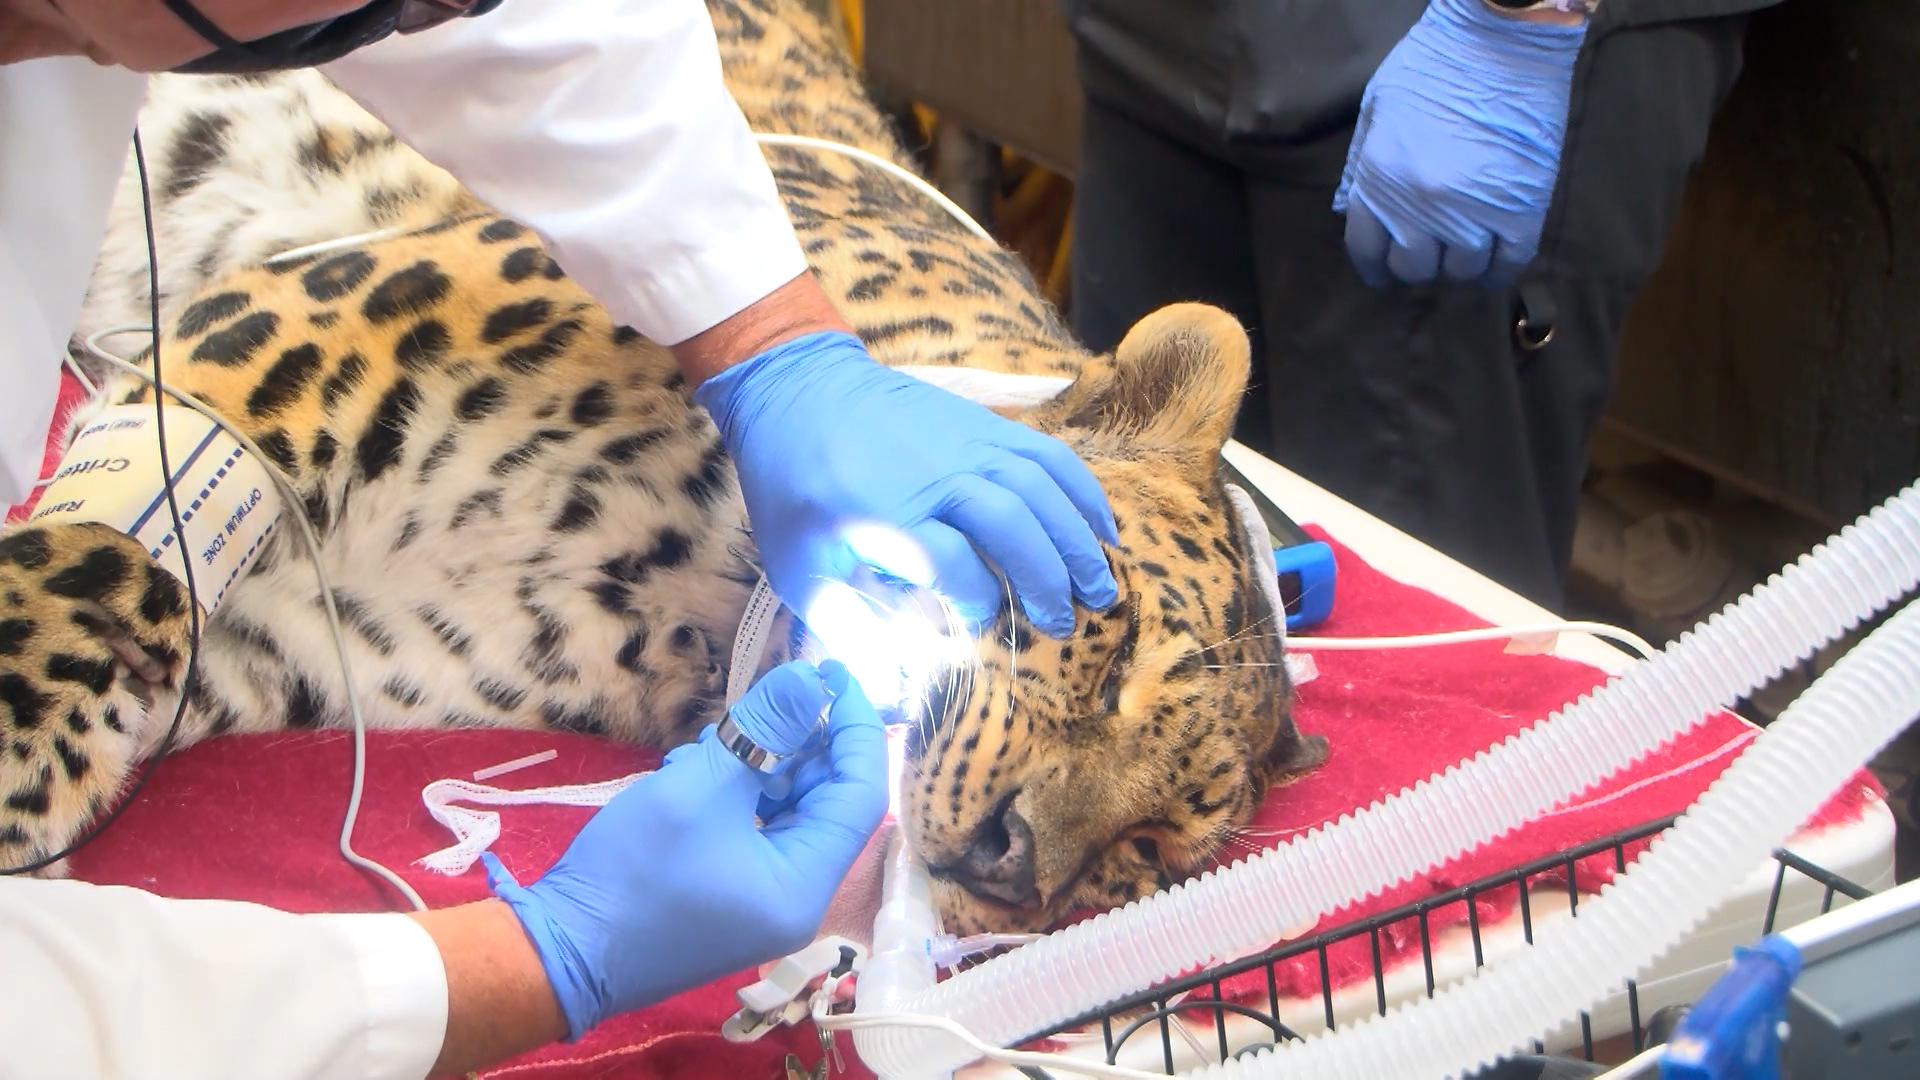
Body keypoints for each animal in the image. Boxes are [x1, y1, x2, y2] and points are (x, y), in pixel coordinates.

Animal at [0, 0, 1327, 937]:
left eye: (1148, 855)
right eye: (1112, 646)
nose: (1012, 863)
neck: (690, 576)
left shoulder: (294, 643)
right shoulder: (292, 339)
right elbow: (88, 579)